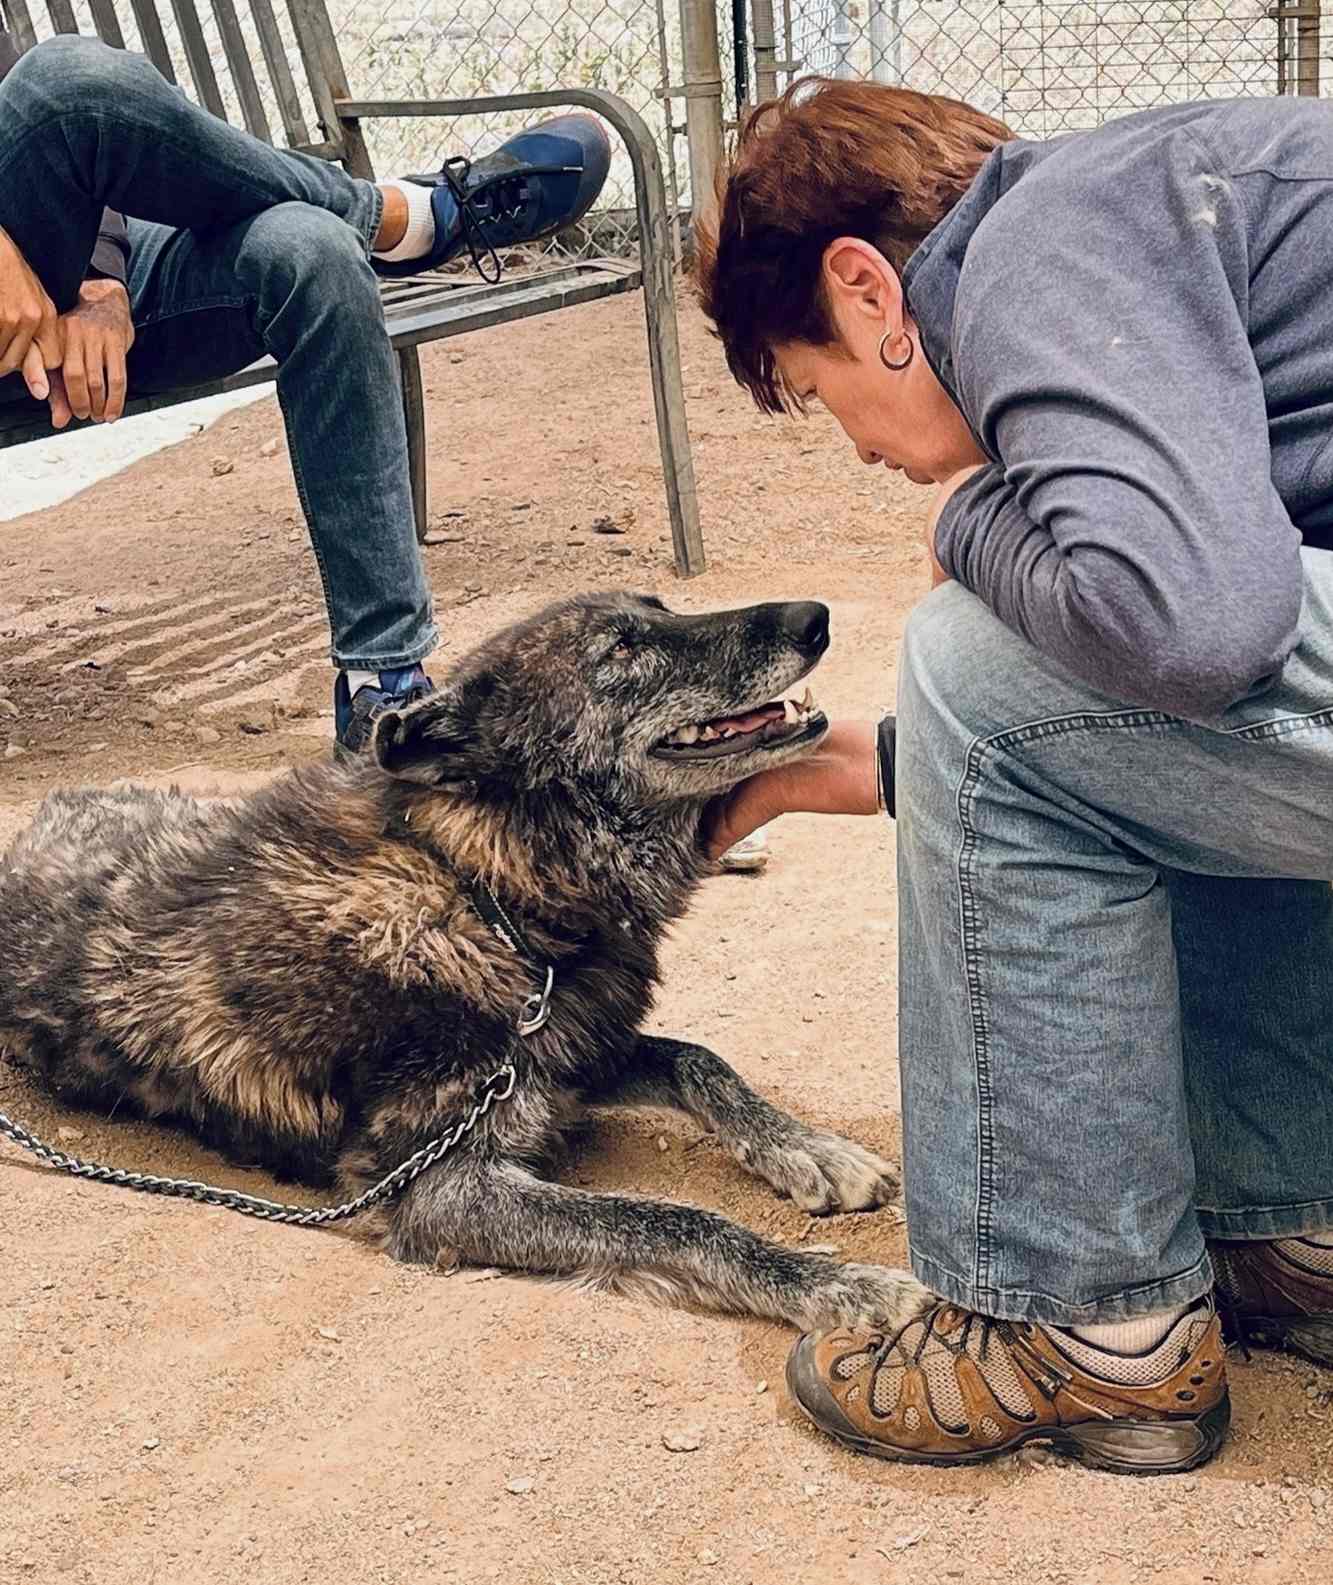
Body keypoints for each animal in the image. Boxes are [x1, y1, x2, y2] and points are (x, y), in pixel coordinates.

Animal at [0, 592, 929, 1332]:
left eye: (660, 609)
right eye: (621, 650)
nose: (813, 617)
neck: (486, 889)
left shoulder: (575, 1043)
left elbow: (701, 1060)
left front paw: (811, 1149)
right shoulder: (448, 1186)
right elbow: (674, 1221)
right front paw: (837, 1285)